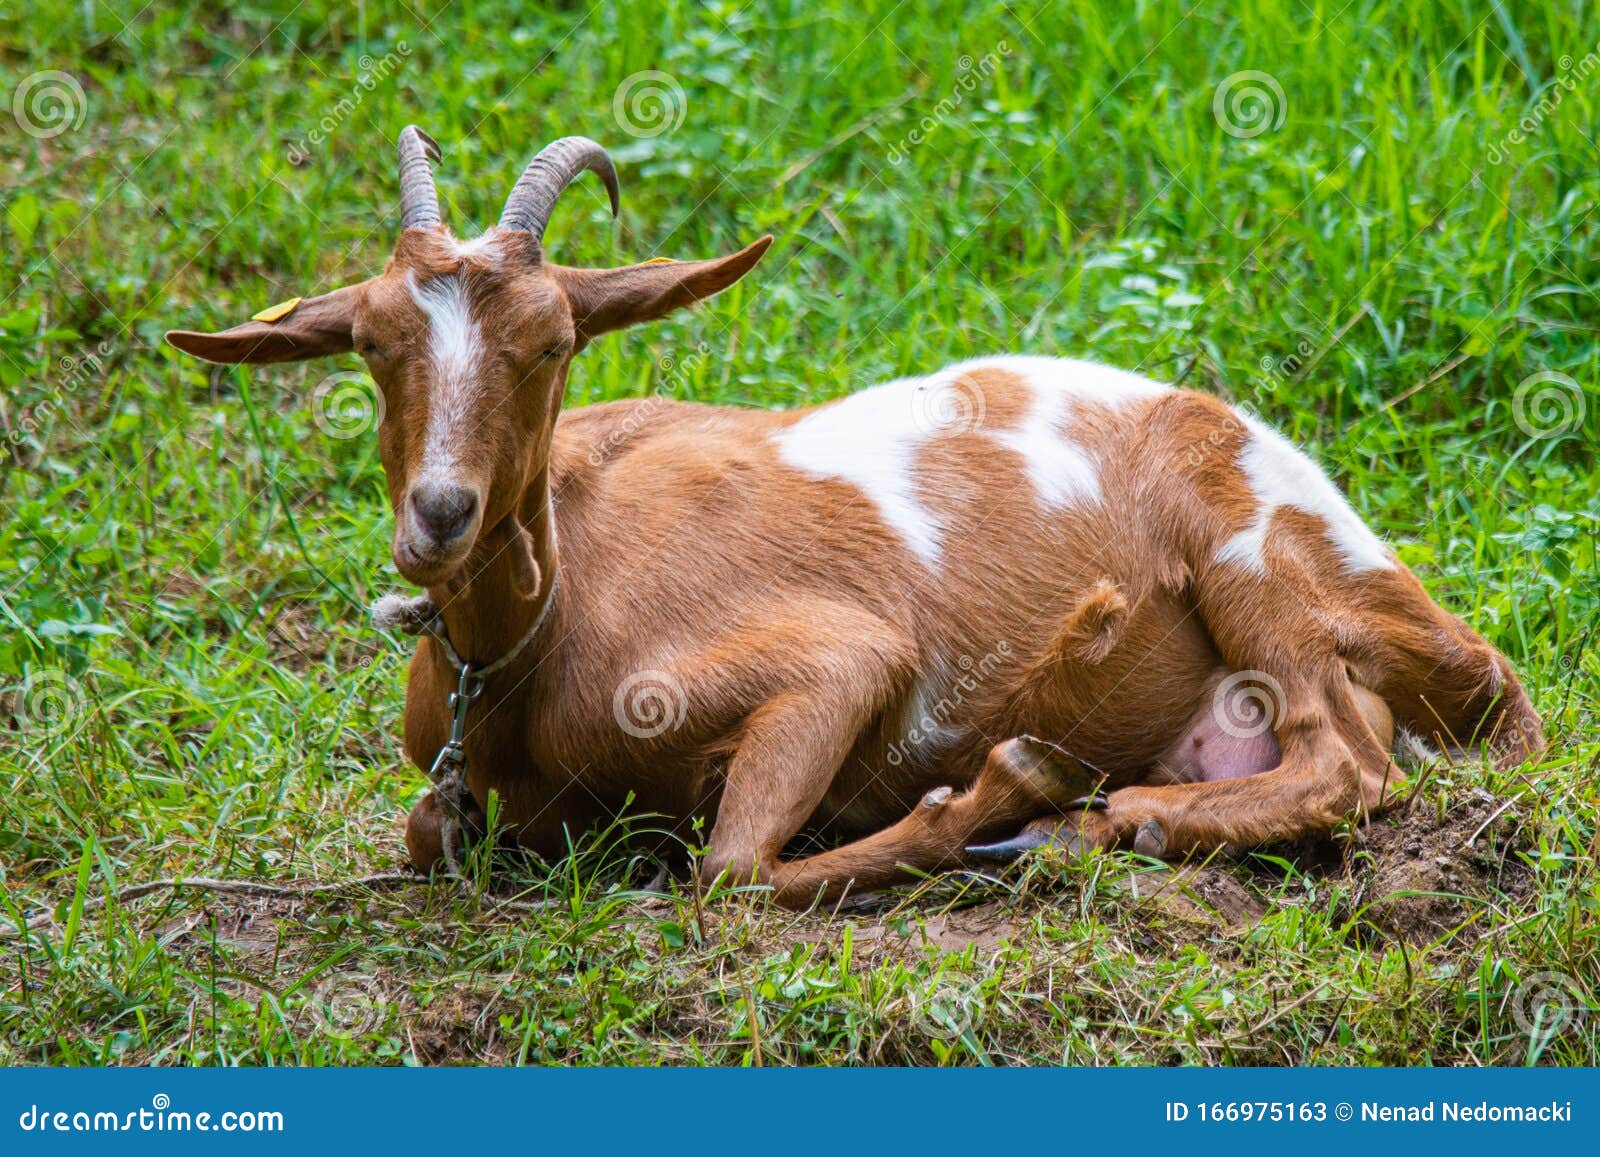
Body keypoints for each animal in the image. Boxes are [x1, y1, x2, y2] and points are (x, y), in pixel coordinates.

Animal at [166, 129, 1544, 907]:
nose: (440, 517)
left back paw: (1101, 819)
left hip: (1254, 552)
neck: (526, 650)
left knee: (1349, 758)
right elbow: (421, 830)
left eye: (554, 341)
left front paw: (989, 796)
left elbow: (729, 871)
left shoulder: (839, 659)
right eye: (370, 342)